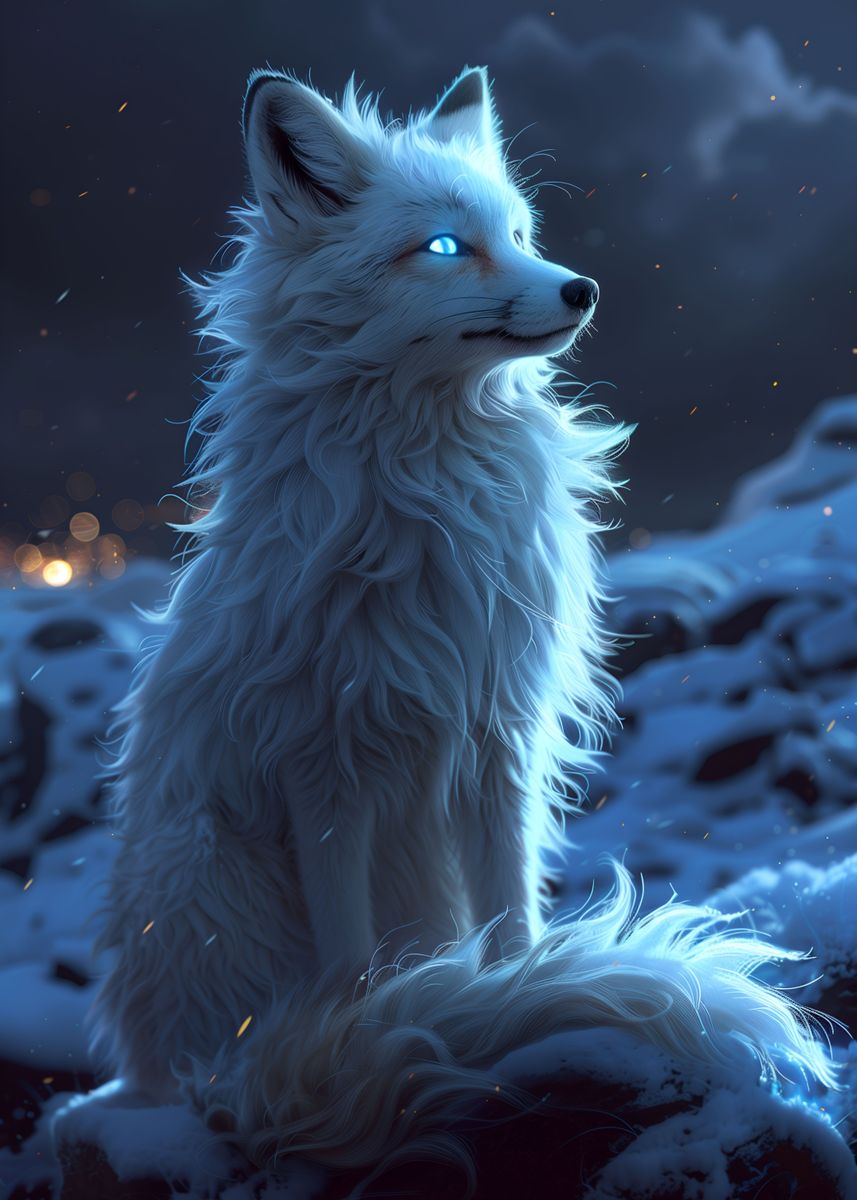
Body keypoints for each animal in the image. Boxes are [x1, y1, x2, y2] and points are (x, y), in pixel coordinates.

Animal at [85, 66, 834, 1184]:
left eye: (519, 232)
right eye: (443, 247)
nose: (582, 289)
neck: (427, 486)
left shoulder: (497, 737)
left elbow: (512, 921)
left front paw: (515, 997)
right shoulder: (321, 761)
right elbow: (353, 969)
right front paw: (373, 1038)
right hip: (207, 881)